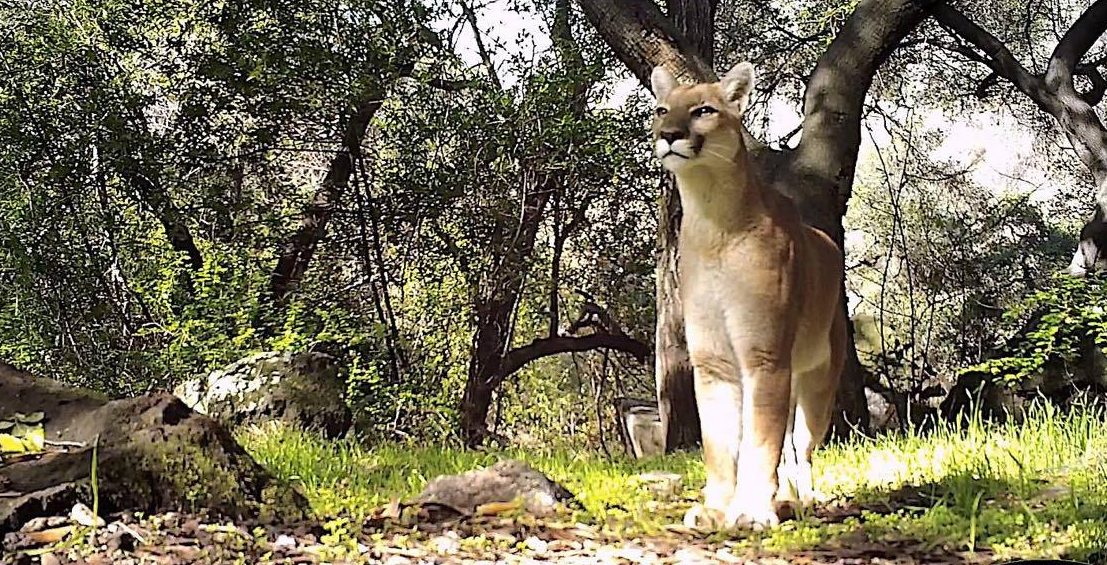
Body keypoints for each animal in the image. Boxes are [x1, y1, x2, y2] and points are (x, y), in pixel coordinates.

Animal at [650, 61, 846, 530]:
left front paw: (753, 509)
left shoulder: (765, 357)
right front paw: (717, 506)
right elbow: (719, 445)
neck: (712, 219)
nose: (669, 133)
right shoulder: (714, 364)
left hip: (816, 384)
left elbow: (761, 442)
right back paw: (785, 499)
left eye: (704, 110)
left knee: (801, 448)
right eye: (662, 109)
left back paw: (801, 499)